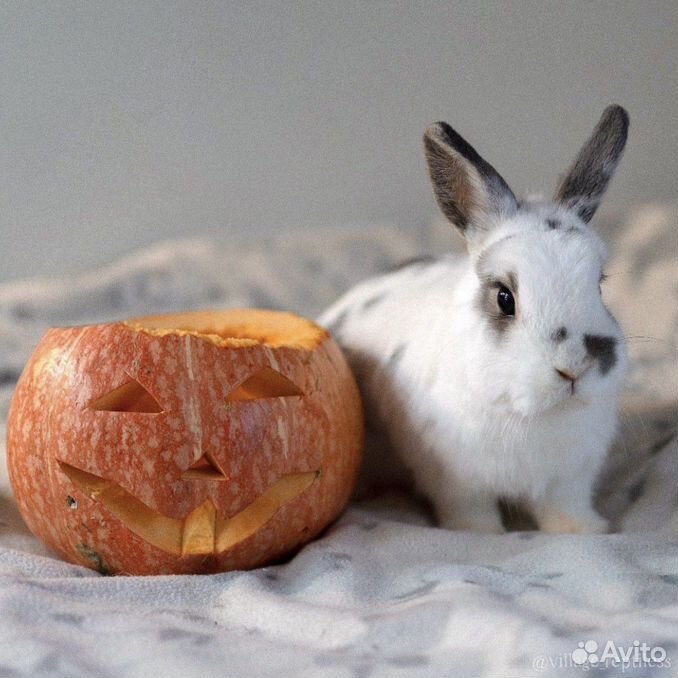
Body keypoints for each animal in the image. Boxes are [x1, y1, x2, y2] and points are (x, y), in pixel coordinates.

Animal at [319, 105, 630, 534]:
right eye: (504, 298)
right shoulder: (455, 480)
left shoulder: (568, 481)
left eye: (599, 284)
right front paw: (482, 534)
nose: (574, 368)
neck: (531, 414)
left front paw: (590, 531)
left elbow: (565, 511)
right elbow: (471, 513)